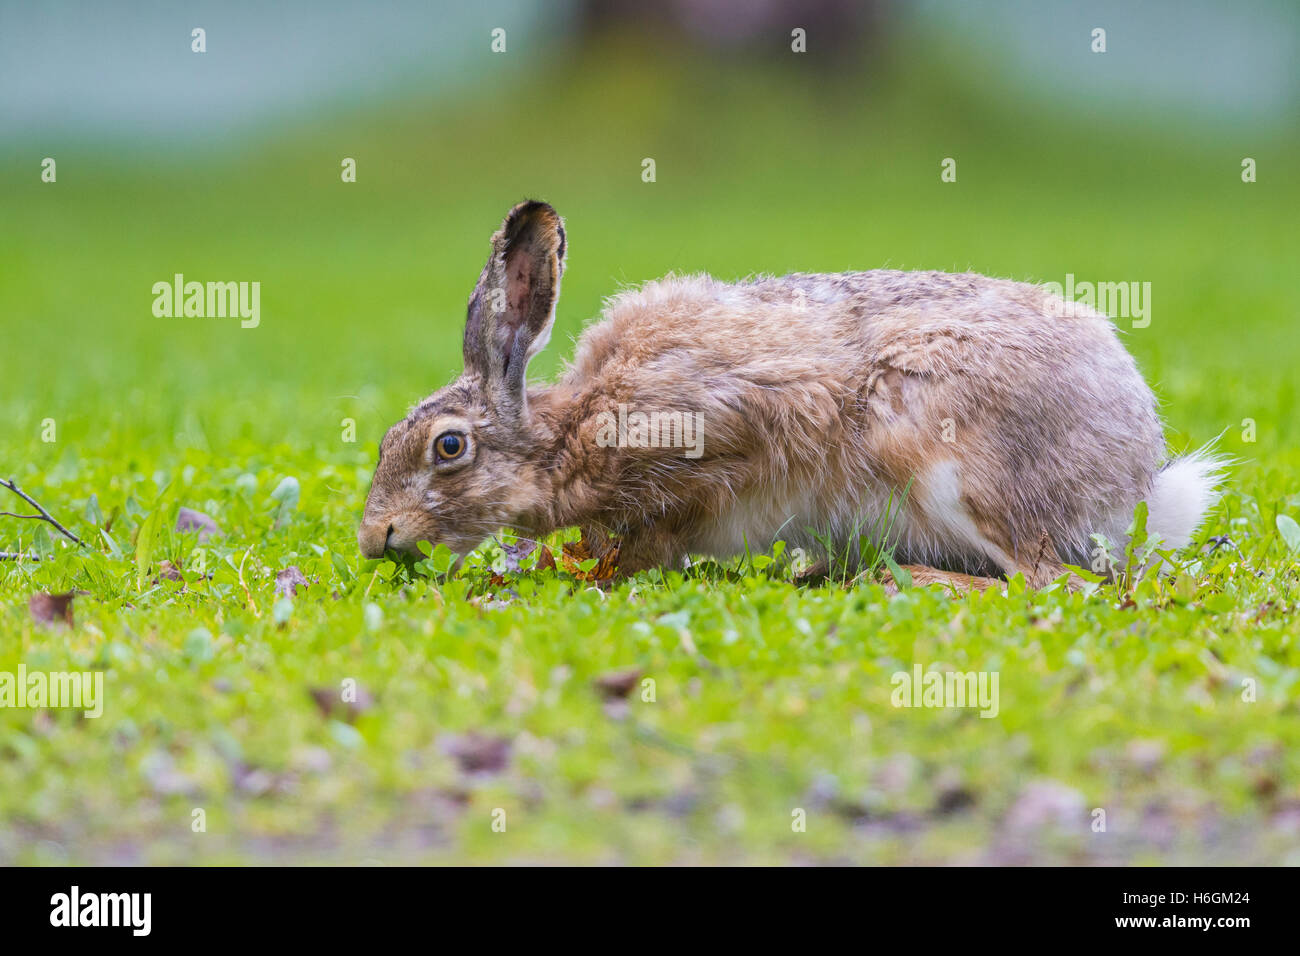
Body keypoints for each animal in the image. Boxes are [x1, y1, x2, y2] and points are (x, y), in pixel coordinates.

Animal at [358, 199, 1222, 588]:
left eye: (448, 447)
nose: (377, 537)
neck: (567, 433)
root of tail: (1136, 484)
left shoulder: (713, 445)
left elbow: (656, 539)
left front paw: (587, 573)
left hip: (946, 457)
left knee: (1050, 581)